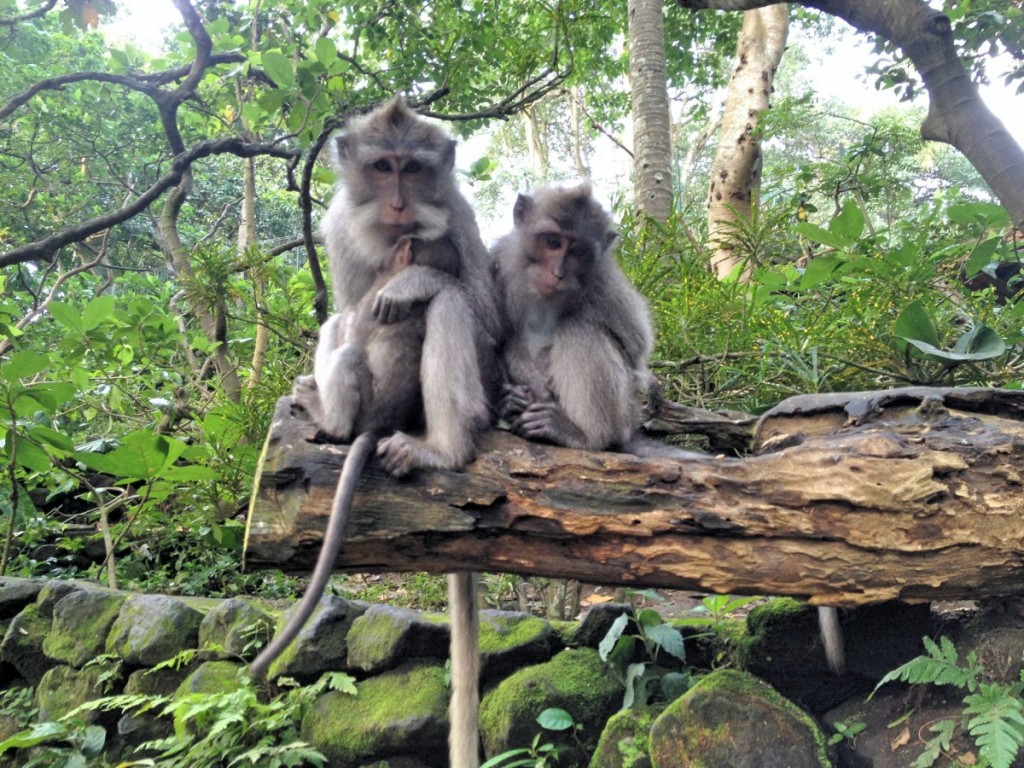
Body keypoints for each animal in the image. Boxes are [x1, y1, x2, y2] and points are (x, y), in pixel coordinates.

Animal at [249, 97, 497, 768]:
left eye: (413, 168)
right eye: (384, 167)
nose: (400, 204)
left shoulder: (457, 215)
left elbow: (484, 311)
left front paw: (414, 285)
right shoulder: (338, 229)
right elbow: (344, 301)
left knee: (440, 311)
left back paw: (432, 445)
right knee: (343, 321)